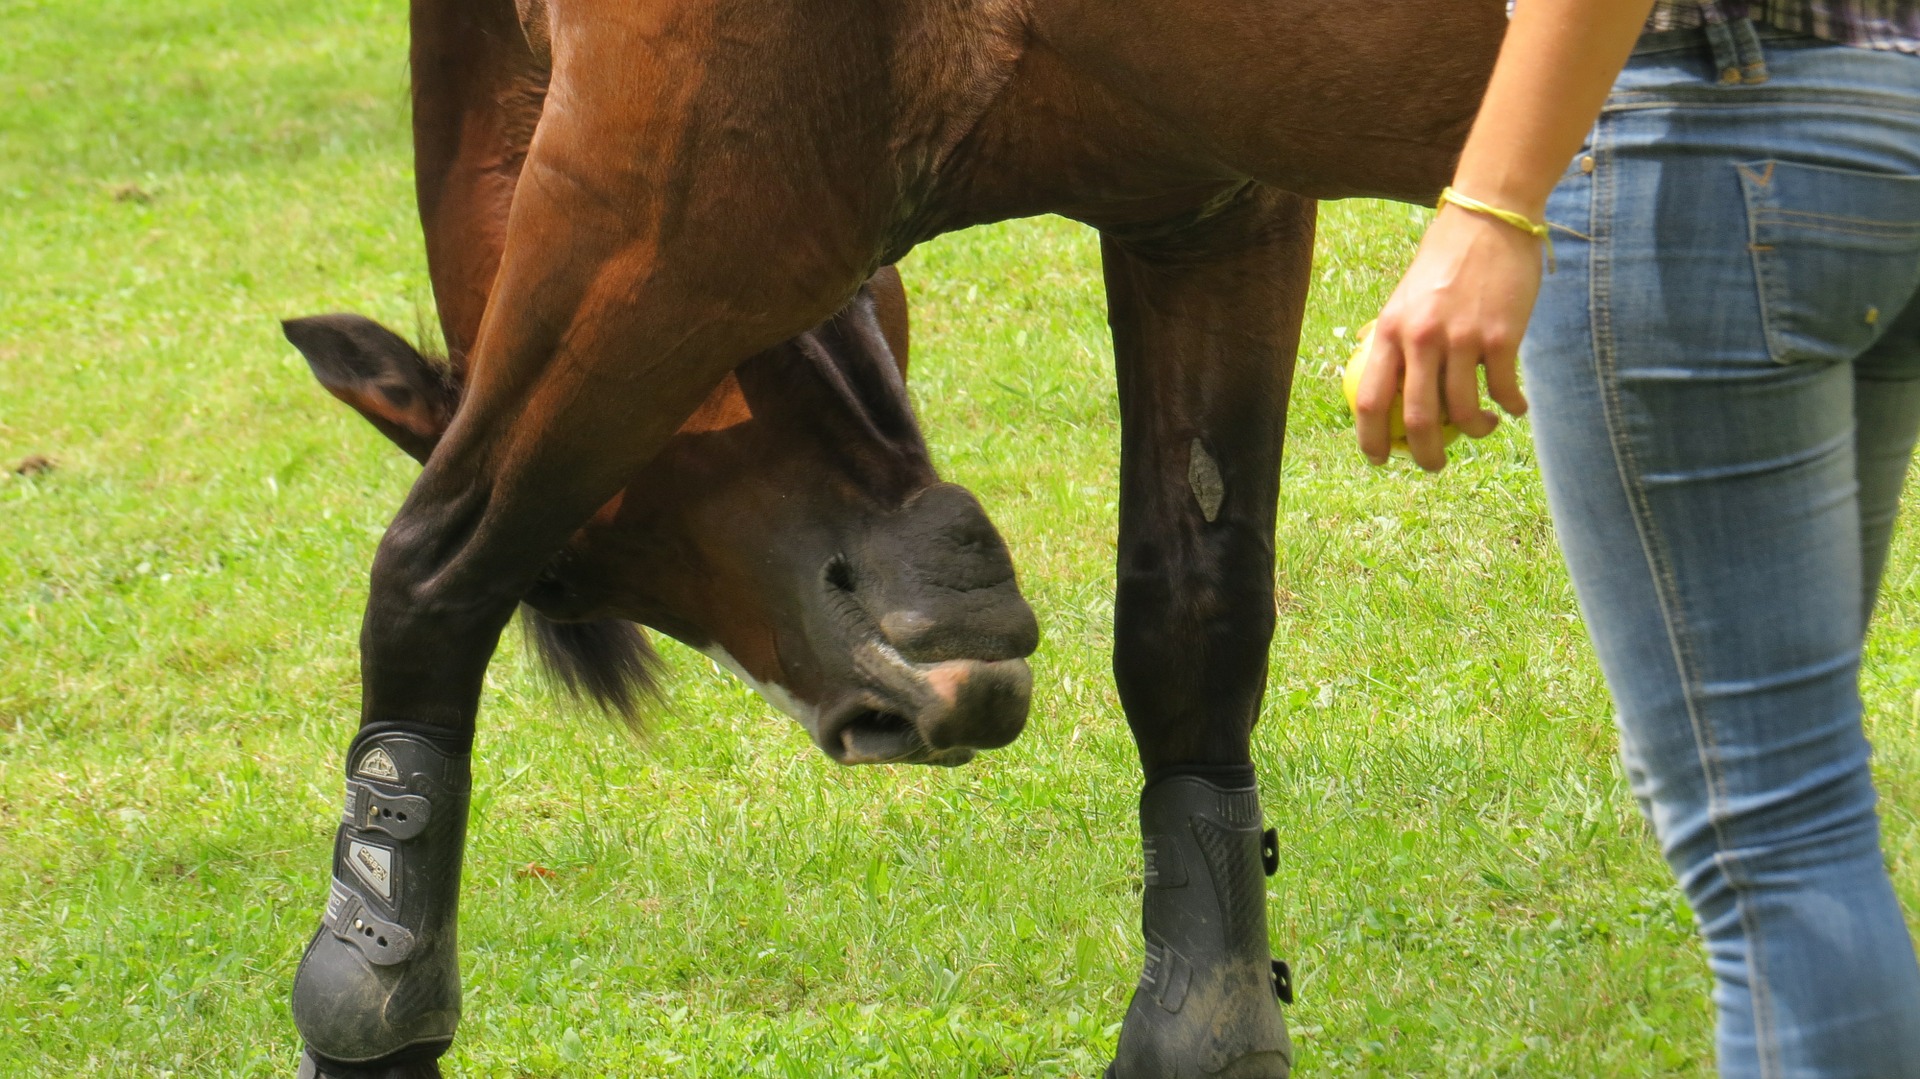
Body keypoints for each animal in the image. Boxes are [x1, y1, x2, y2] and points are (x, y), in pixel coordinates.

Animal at [280, 1, 1506, 1075]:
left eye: (565, 576)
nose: (895, 708)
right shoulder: (1206, 210)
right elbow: (1192, 631)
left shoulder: (648, 230)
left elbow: (426, 579)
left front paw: (368, 1005)